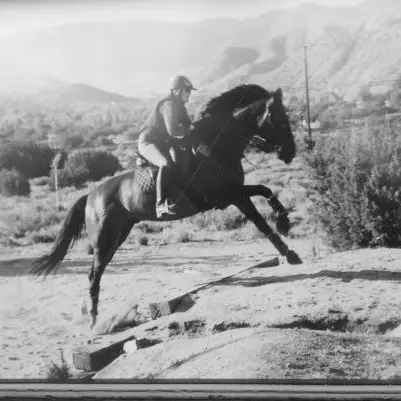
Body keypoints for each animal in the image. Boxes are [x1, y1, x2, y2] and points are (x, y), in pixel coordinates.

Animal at [30, 84, 300, 328]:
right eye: (277, 118)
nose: (290, 152)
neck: (218, 146)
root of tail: (89, 195)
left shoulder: (234, 193)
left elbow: (266, 191)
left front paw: (284, 222)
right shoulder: (228, 195)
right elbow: (260, 219)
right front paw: (289, 251)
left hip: (119, 234)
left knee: (98, 270)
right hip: (103, 239)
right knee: (94, 274)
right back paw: (95, 318)